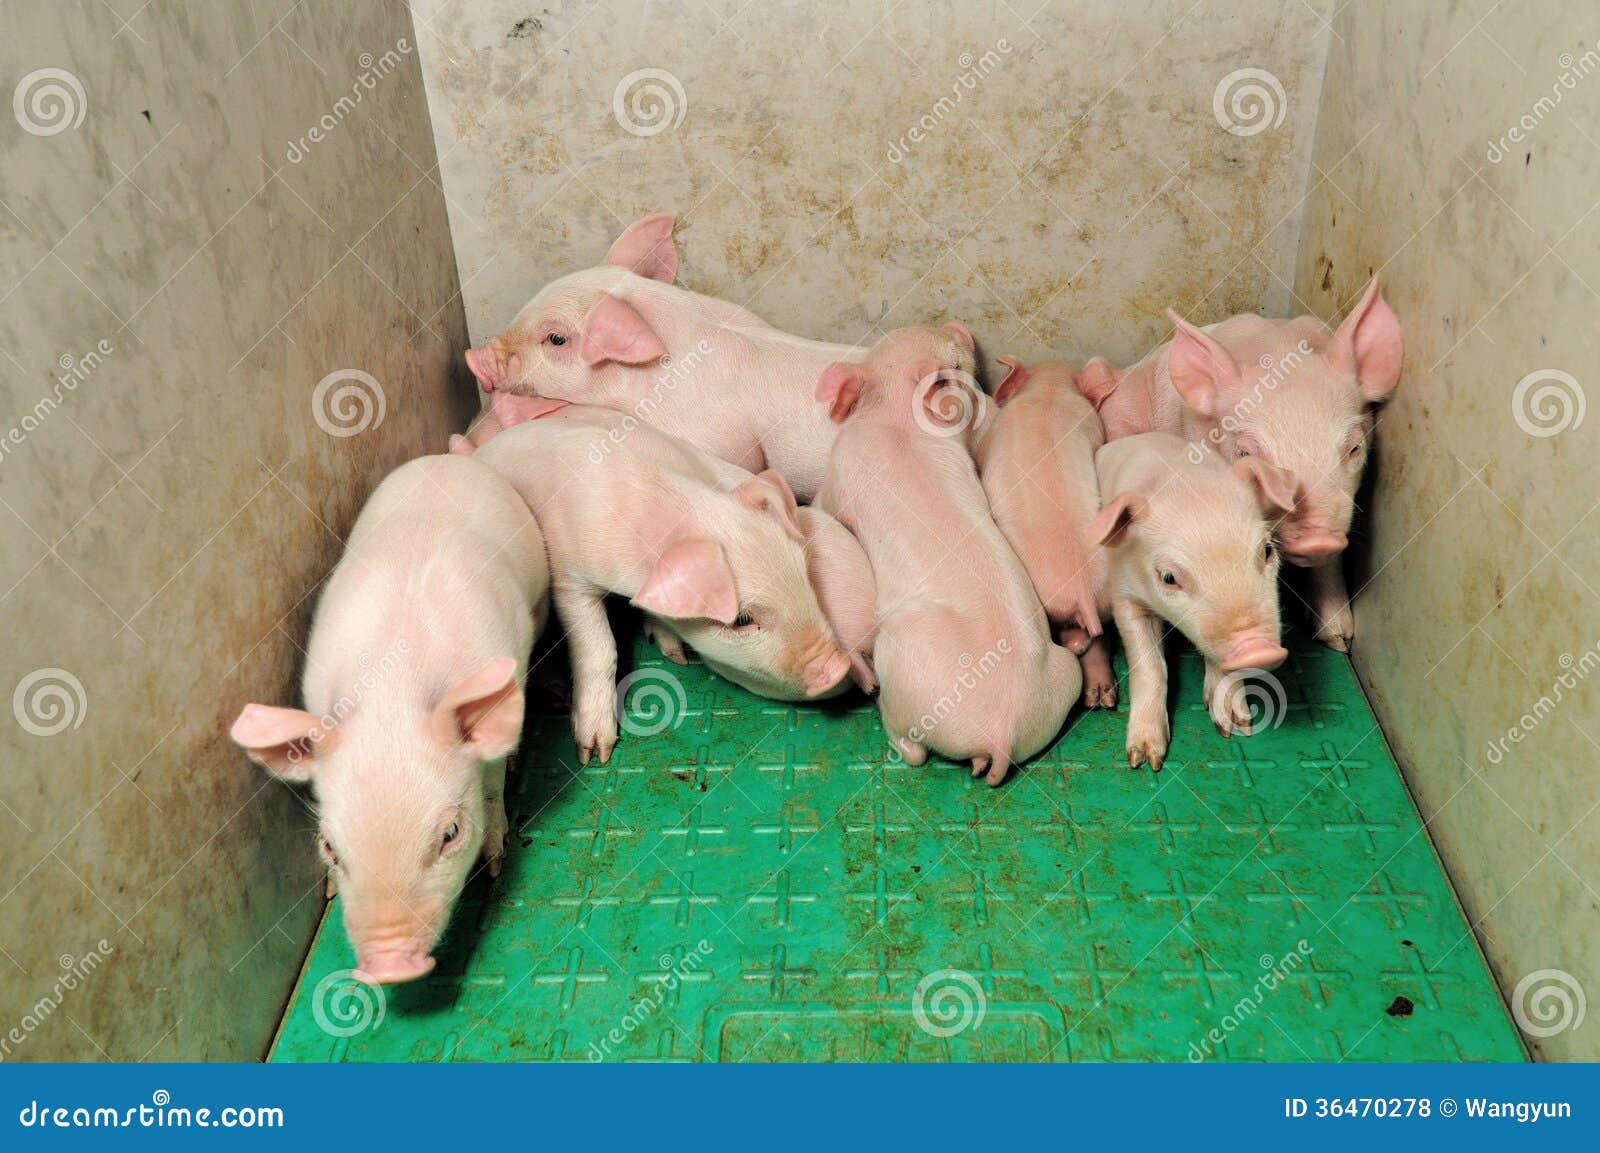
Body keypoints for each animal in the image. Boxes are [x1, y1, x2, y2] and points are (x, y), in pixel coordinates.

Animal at [230, 454, 550, 984]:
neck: (392, 695)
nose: (387, 967)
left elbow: (490, 781)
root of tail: (447, 459)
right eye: (330, 847)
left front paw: (496, 860)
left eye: (450, 834)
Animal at [472, 407, 852, 763]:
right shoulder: (569, 579)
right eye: (742, 621)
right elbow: (599, 648)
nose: (839, 666)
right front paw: (595, 754)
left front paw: (675, 654)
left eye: (803, 573)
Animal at [815, 326, 1081, 786]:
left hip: (901, 665)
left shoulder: (839, 476)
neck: (899, 419)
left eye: (955, 363)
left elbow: (822, 503)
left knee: (911, 746)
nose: (959, 328)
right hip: (1064, 677)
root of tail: (1003, 730)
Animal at [1089, 433, 1297, 770]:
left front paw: (1236, 726)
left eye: (1267, 550)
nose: (1257, 648)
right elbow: (1149, 665)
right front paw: (1145, 759)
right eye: (1168, 577)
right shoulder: (1125, 594)